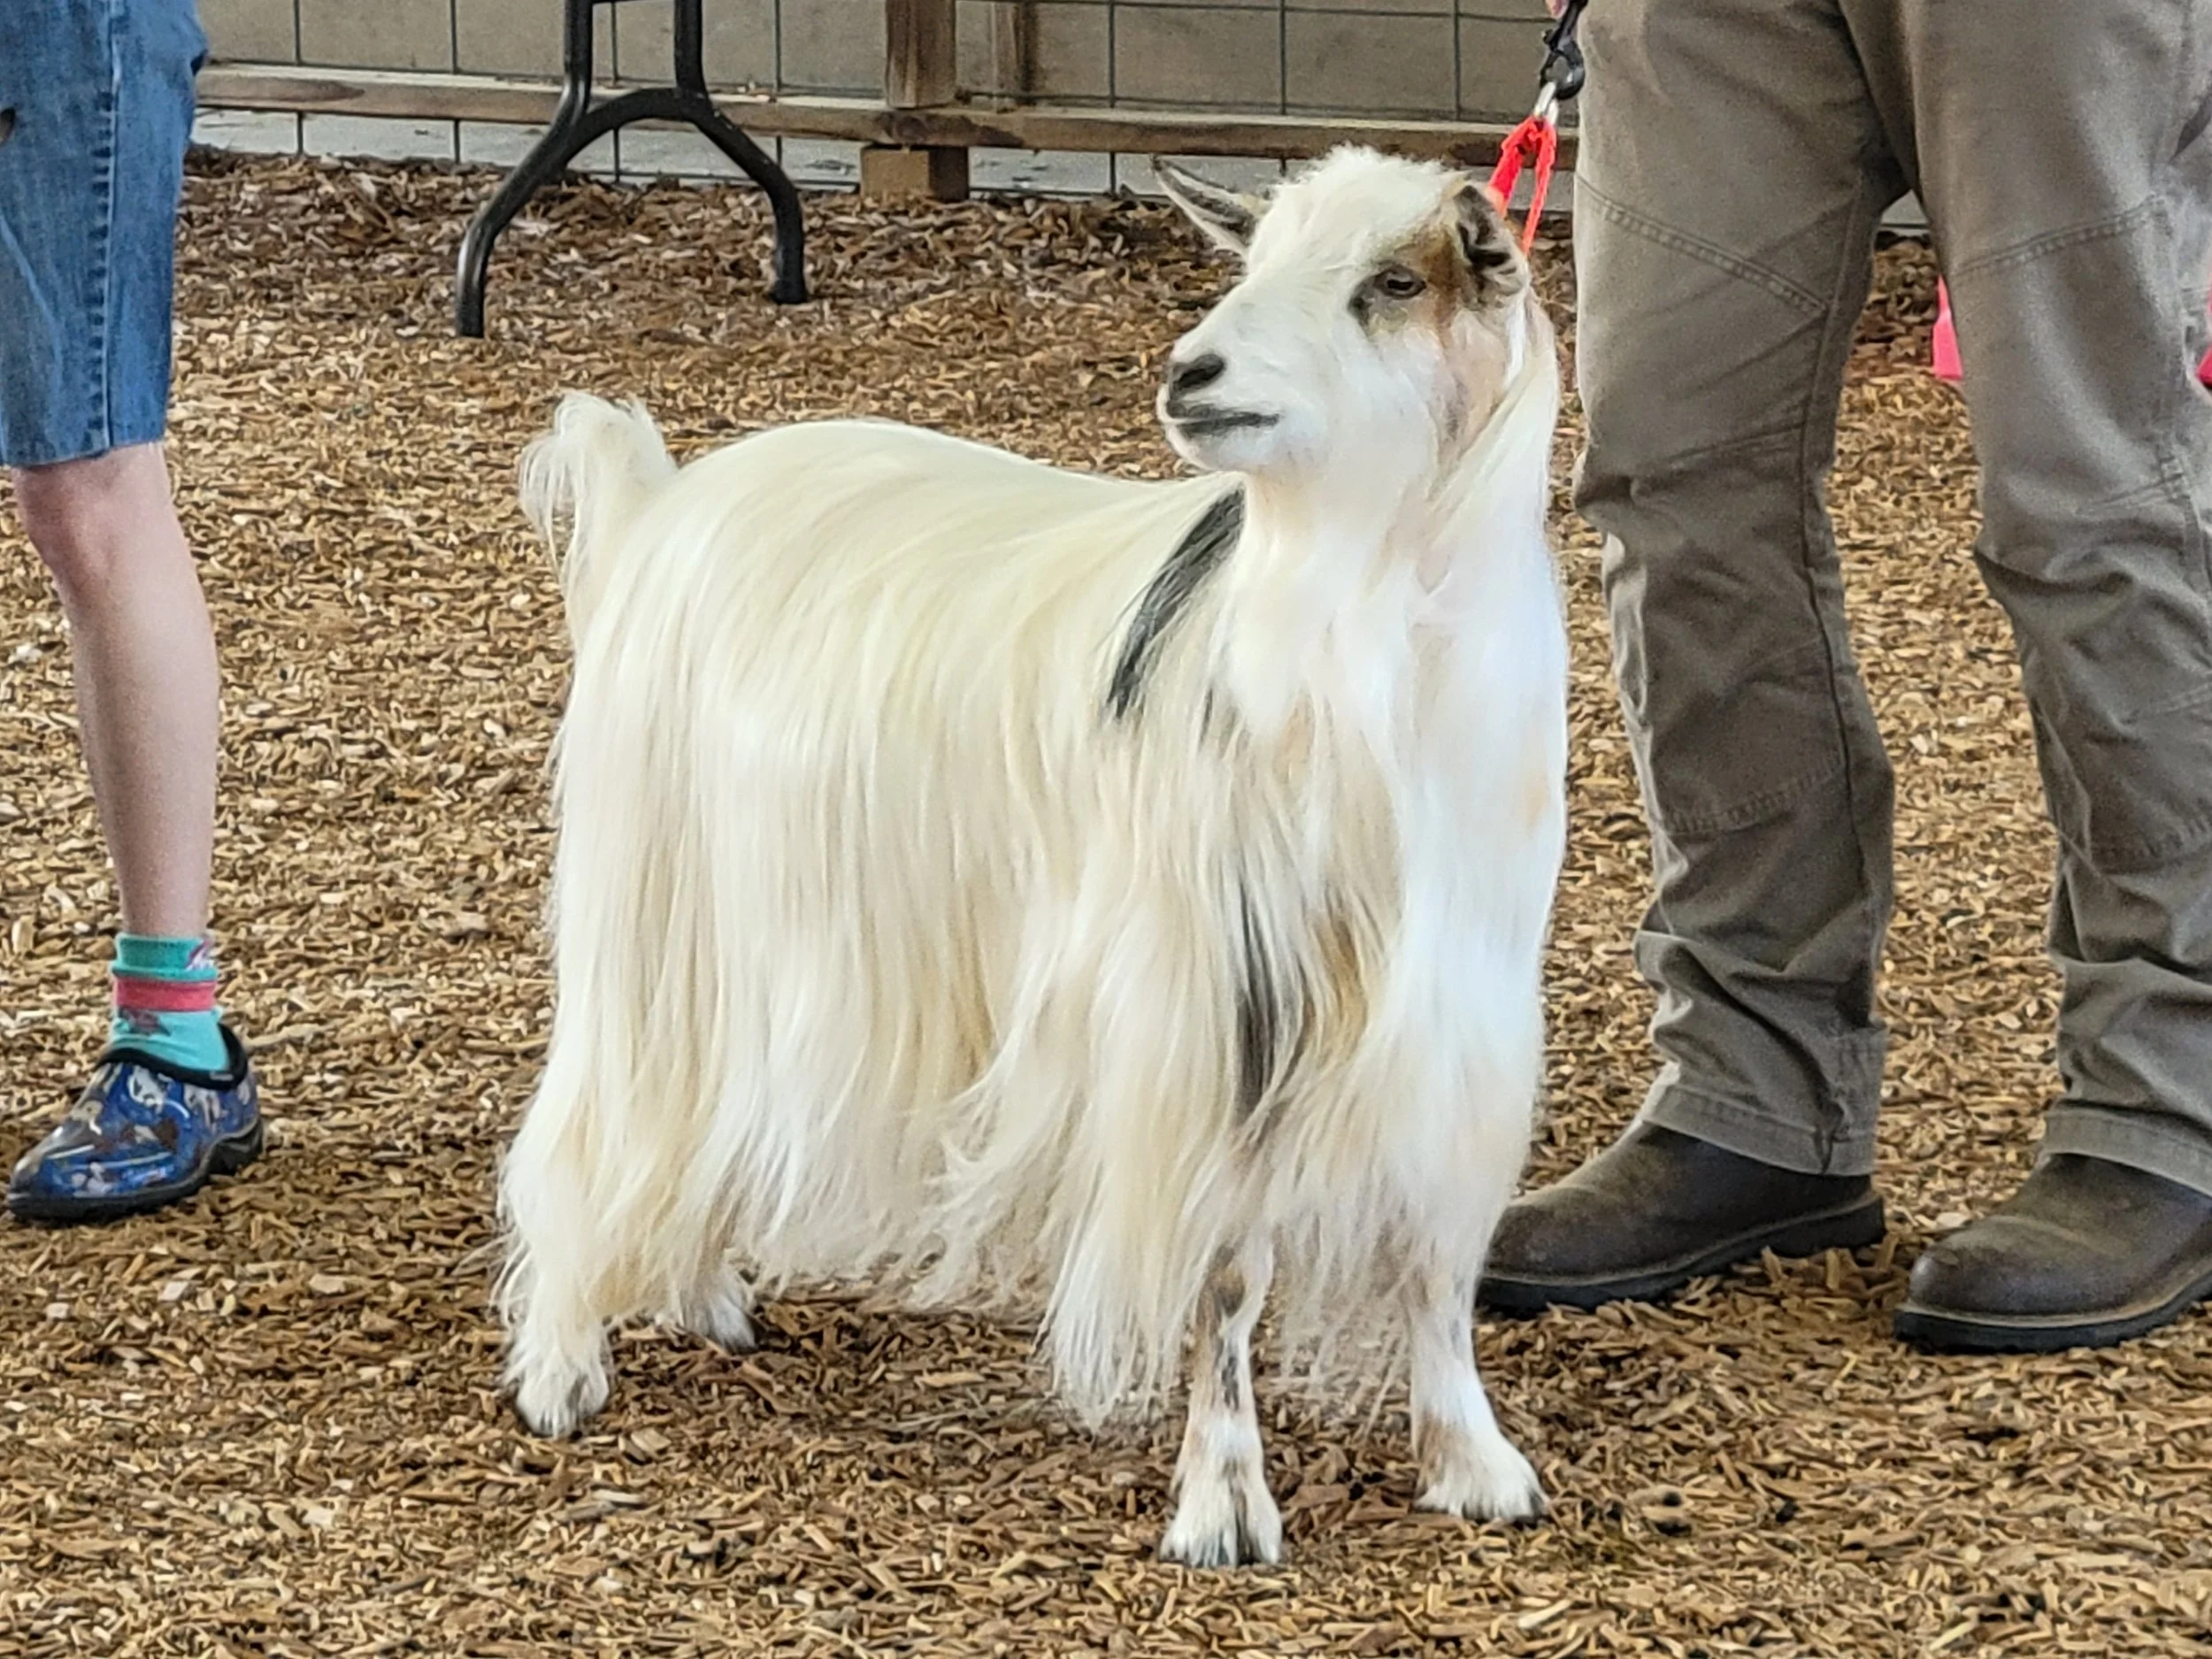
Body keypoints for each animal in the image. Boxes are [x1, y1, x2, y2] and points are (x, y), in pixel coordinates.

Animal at [499, 145, 1567, 1567]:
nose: (1193, 374)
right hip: (650, 893)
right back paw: (562, 1368)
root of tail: (660, 506)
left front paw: (1473, 1461)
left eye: (1394, 283)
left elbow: (1440, 1256)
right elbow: (1229, 1267)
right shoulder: (1217, 1006)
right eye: (1251, 258)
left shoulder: (1458, 1017)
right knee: (595, 1109)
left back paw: (703, 1293)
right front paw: (1223, 1505)